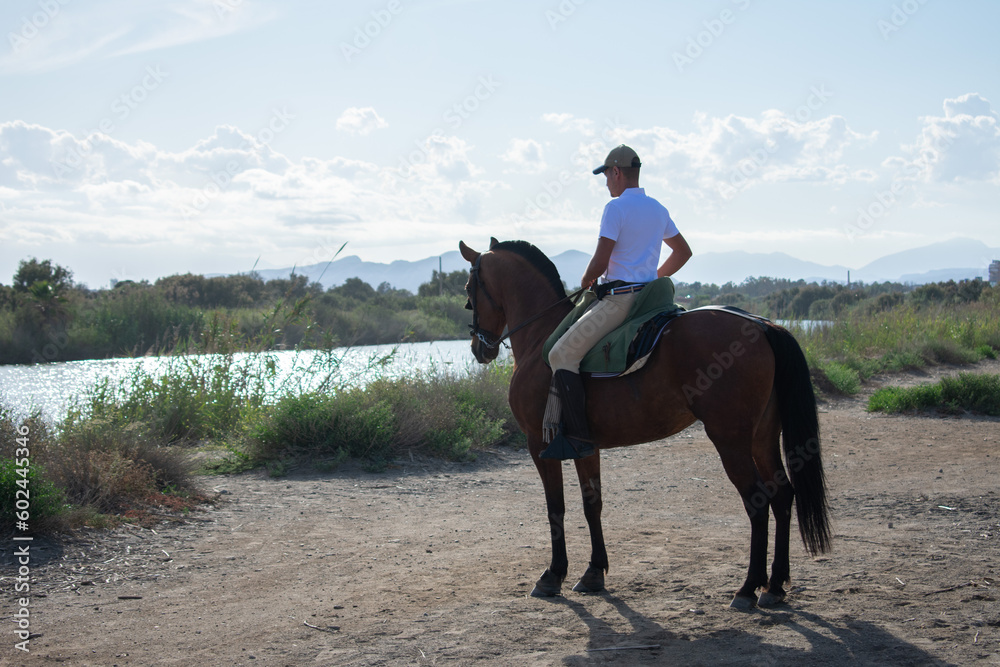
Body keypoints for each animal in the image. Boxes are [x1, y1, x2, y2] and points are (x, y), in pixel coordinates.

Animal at [459, 238, 830, 609]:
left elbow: (556, 508)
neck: (541, 335)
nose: (479, 348)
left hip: (730, 439)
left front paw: (553, 575)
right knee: (782, 495)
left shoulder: (539, 442)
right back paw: (775, 586)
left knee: (758, 501)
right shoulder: (585, 446)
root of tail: (762, 325)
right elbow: (592, 504)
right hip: (762, 436)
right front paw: (593, 573)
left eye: (468, 288)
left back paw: (748, 587)